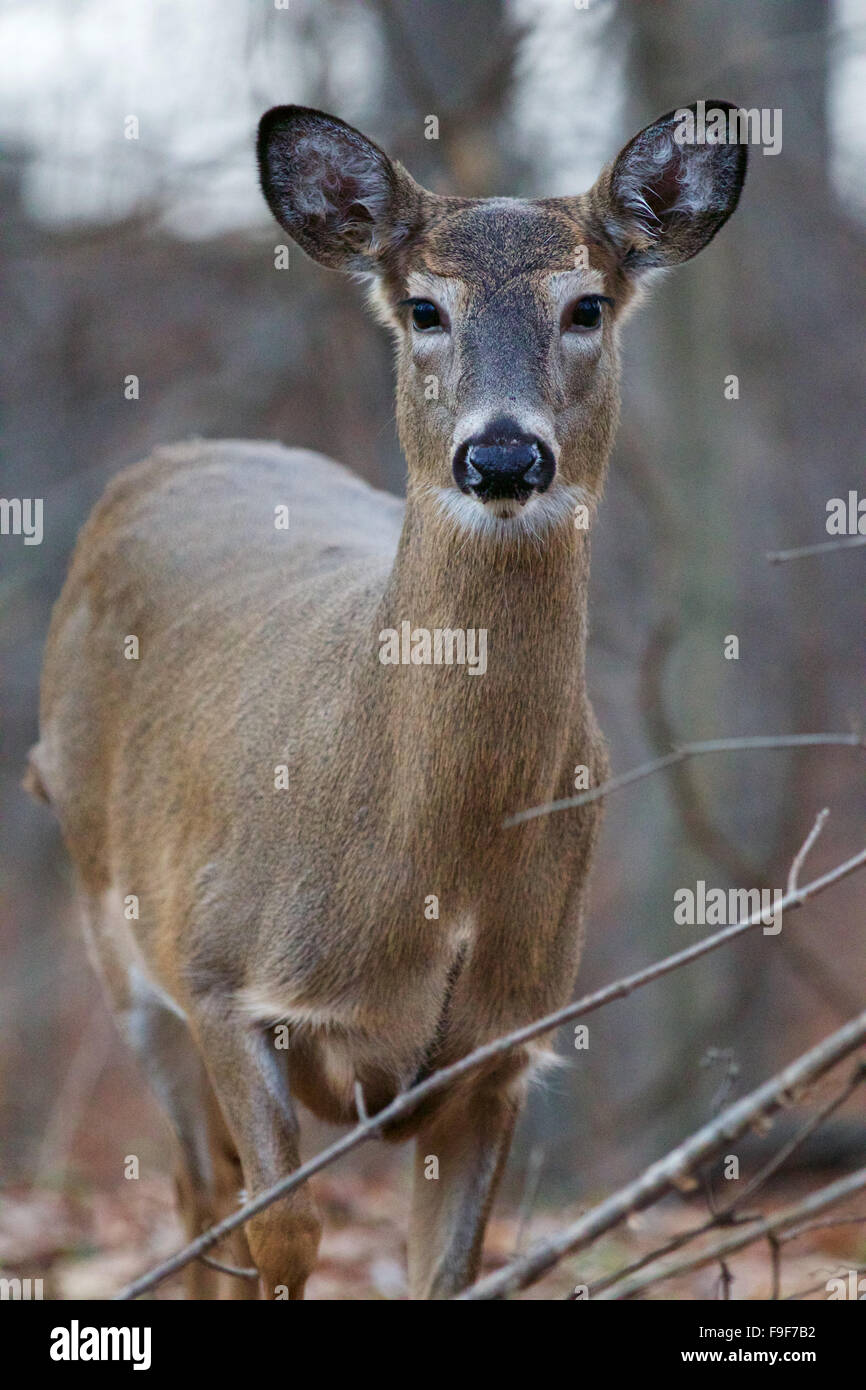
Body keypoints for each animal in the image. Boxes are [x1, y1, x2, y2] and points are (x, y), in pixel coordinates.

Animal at [27, 102, 746, 1299]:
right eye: (424, 308)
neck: (432, 873)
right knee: (198, 1198)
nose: (500, 455)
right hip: (114, 931)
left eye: (586, 305)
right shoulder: (218, 973)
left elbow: (445, 1271)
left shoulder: (504, 1046)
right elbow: (281, 1231)